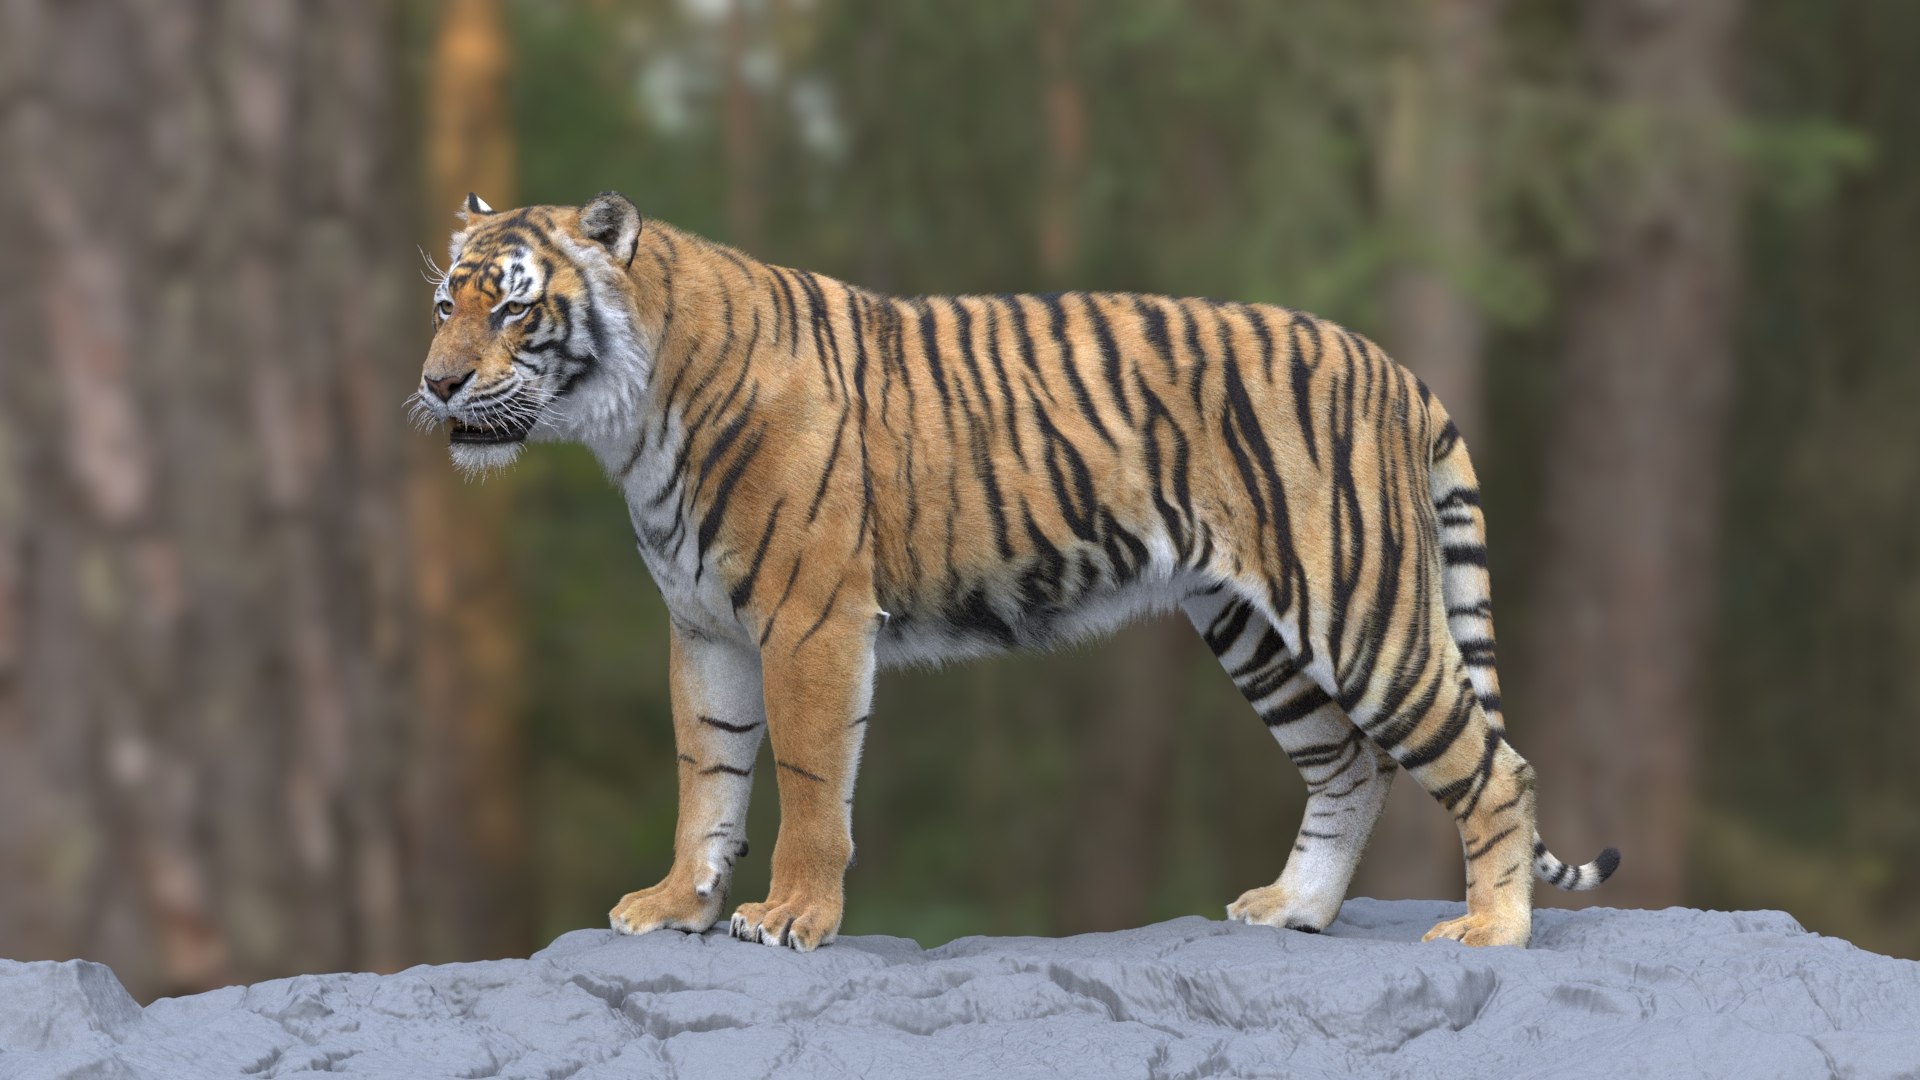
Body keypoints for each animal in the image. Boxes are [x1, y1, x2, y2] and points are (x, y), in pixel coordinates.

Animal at [415, 190, 1618, 953]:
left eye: (514, 306)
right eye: (444, 306)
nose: (434, 385)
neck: (629, 425)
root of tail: (1392, 368)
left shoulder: (811, 618)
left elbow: (806, 781)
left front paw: (790, 918)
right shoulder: (703, 625)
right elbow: (704, 776)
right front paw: (679, 905)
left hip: (1357, 608)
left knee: (1492, 767)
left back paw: (1492, 930)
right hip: (1254, 628)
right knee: (1350, 766)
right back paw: (1294, 907)